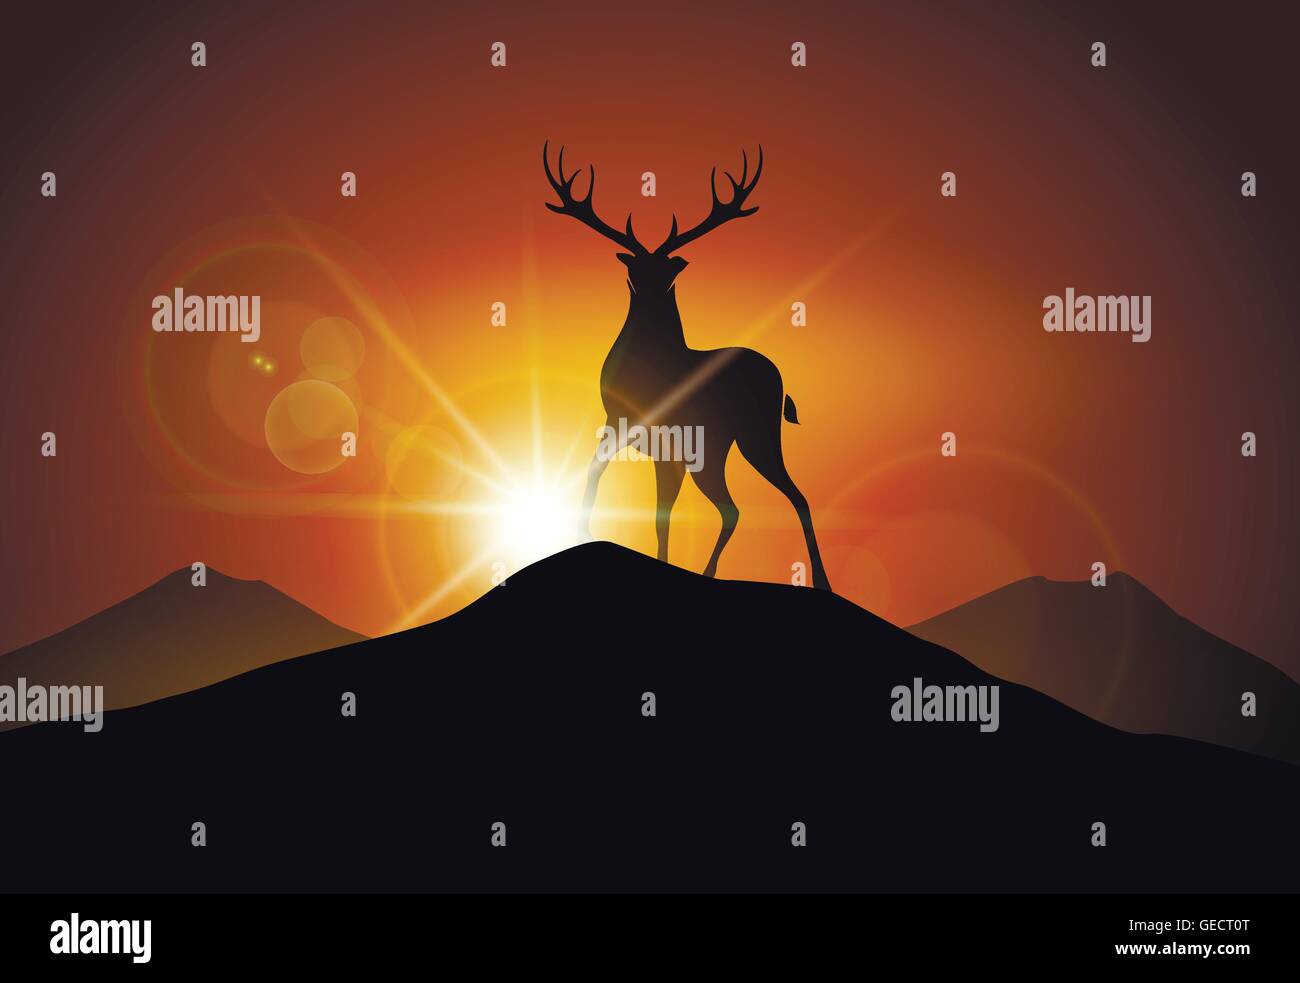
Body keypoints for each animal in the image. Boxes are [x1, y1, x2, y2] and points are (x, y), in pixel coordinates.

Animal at [544, 143, 831, 591]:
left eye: (667, 269)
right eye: (634, 268)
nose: (650, 291)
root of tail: (778, 376)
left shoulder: (672, 440)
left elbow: (661, 513)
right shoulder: (619, 424)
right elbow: (597, 475)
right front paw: (584, 531)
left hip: (755, 434)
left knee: (787, 496)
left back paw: (818, 580)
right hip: (717, 448)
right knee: (733, 506)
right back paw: (713, 571)